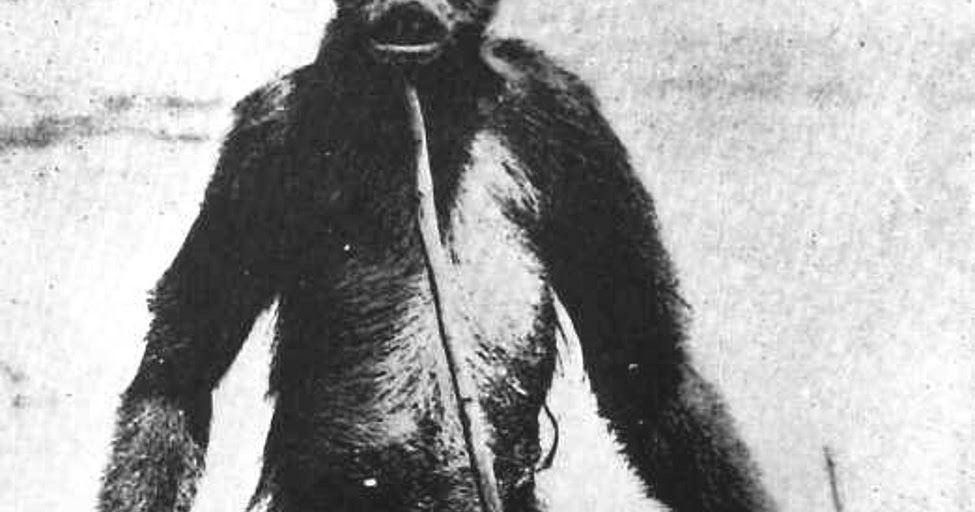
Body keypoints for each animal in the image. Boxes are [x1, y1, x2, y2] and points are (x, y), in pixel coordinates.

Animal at [98, 1, 775, 511]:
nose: (407, 14)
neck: (425, 109)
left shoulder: (568, 116)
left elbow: (646, 363)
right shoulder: (264, 137)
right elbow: (180, 368)